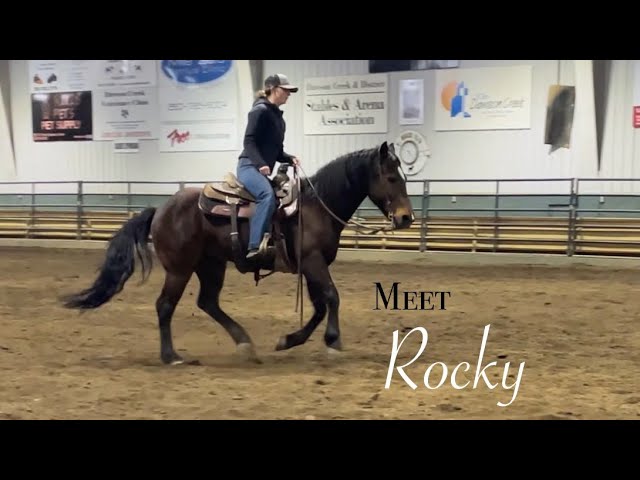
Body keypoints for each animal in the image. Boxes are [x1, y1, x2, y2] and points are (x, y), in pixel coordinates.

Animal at [61, 141, 415, 365]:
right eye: (391, 177)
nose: (405, 218)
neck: (315, 207)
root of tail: (160, 210)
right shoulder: (314, 263)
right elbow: (331, 297)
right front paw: (333, 342)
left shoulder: (311, 265)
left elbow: (318, 306)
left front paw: (290, 340)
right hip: (180, 268)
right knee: (165, 306)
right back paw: (171, 357)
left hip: (211, 265)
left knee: (207, 302)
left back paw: (243, 342)